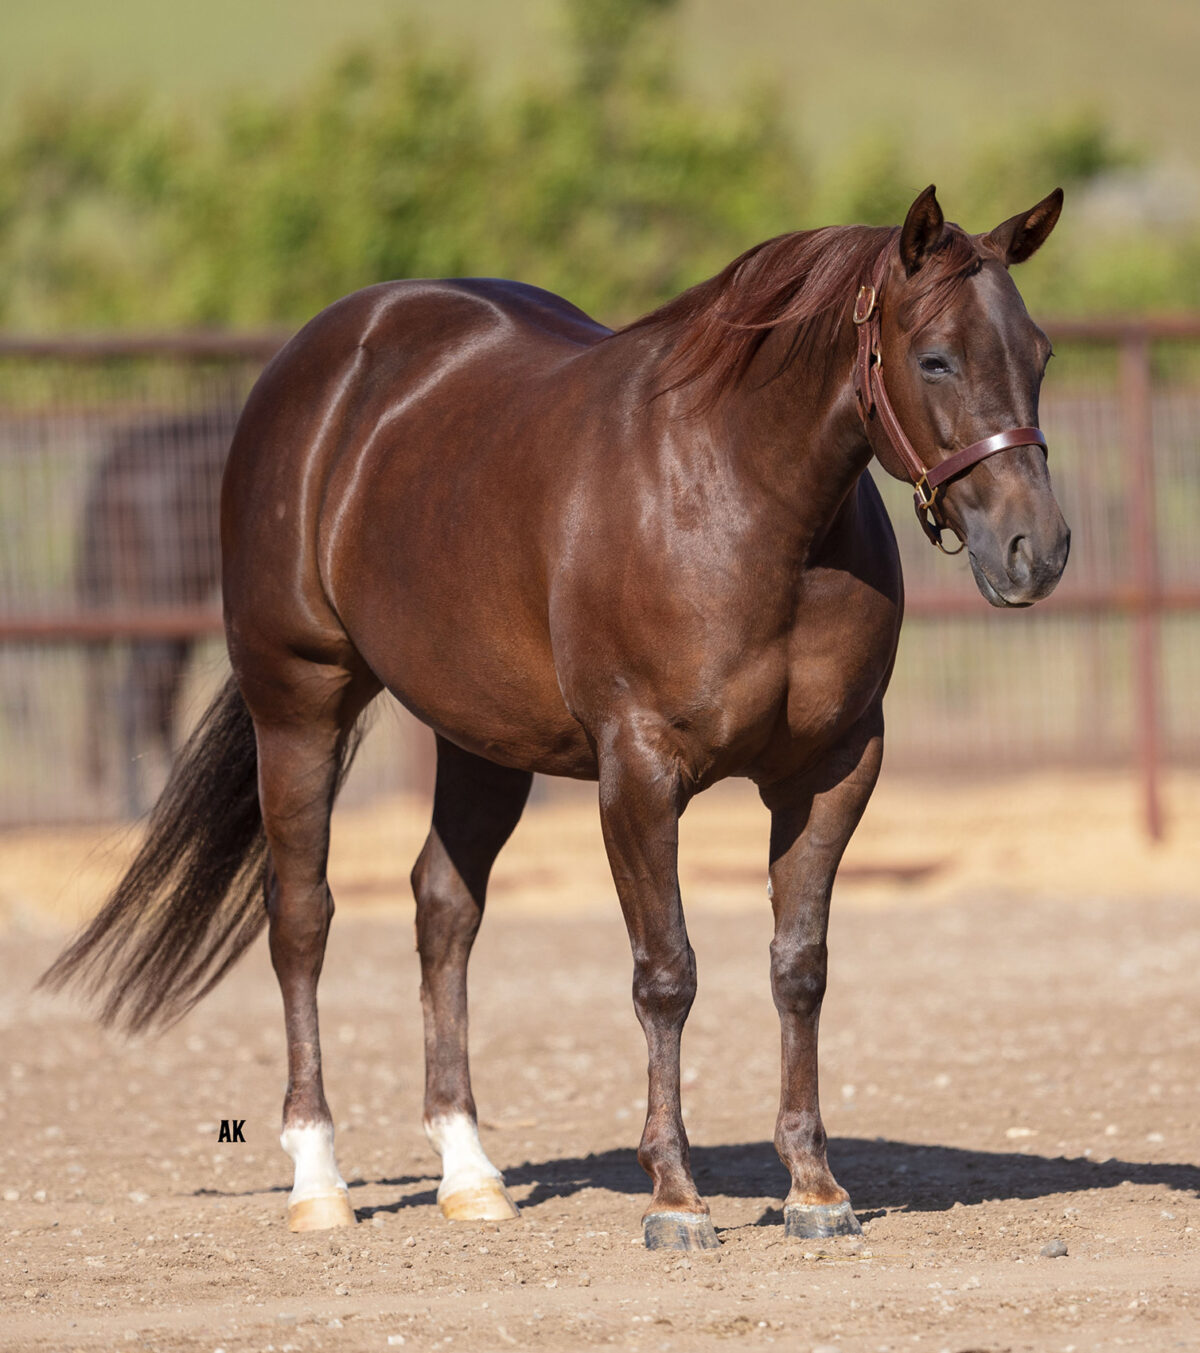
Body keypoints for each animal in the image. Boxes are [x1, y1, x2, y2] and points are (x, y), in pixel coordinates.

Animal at [42, 185, 1070, 1250]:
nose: (1035, 549)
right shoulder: (640, 771)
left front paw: (815, 1189)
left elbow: (800, 967)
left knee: (443, 910)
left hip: (480, 737)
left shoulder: (832, 768)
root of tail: (315, 365)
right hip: (298, 702)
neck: (744, 498)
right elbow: (666, 973)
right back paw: (318, 1180)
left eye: (1039, 354)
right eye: (936, 358)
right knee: (302, 919)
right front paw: (675, 1196)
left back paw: (470, 1173)